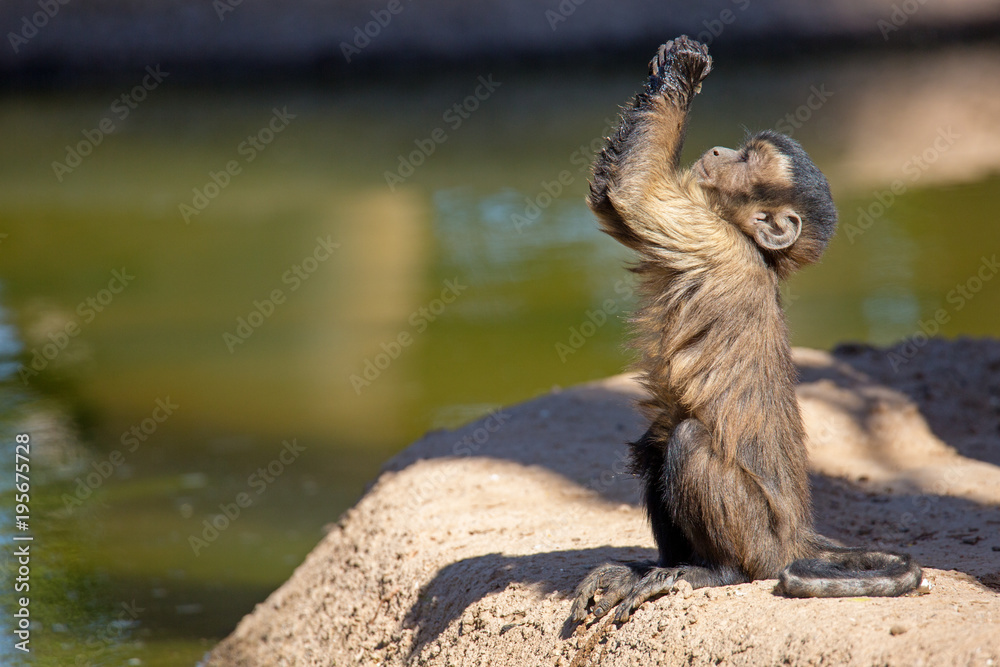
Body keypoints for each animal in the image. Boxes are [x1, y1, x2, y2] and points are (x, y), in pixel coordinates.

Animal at [569, 36, 923, 625]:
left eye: (748, 160)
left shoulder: (711, 235)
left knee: (685, 439)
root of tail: (793, 538)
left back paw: (717, 571)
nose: (715, 152)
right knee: (657, 442)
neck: (753, 248)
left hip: (757, 537)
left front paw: (680, 71)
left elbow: (632, 192)